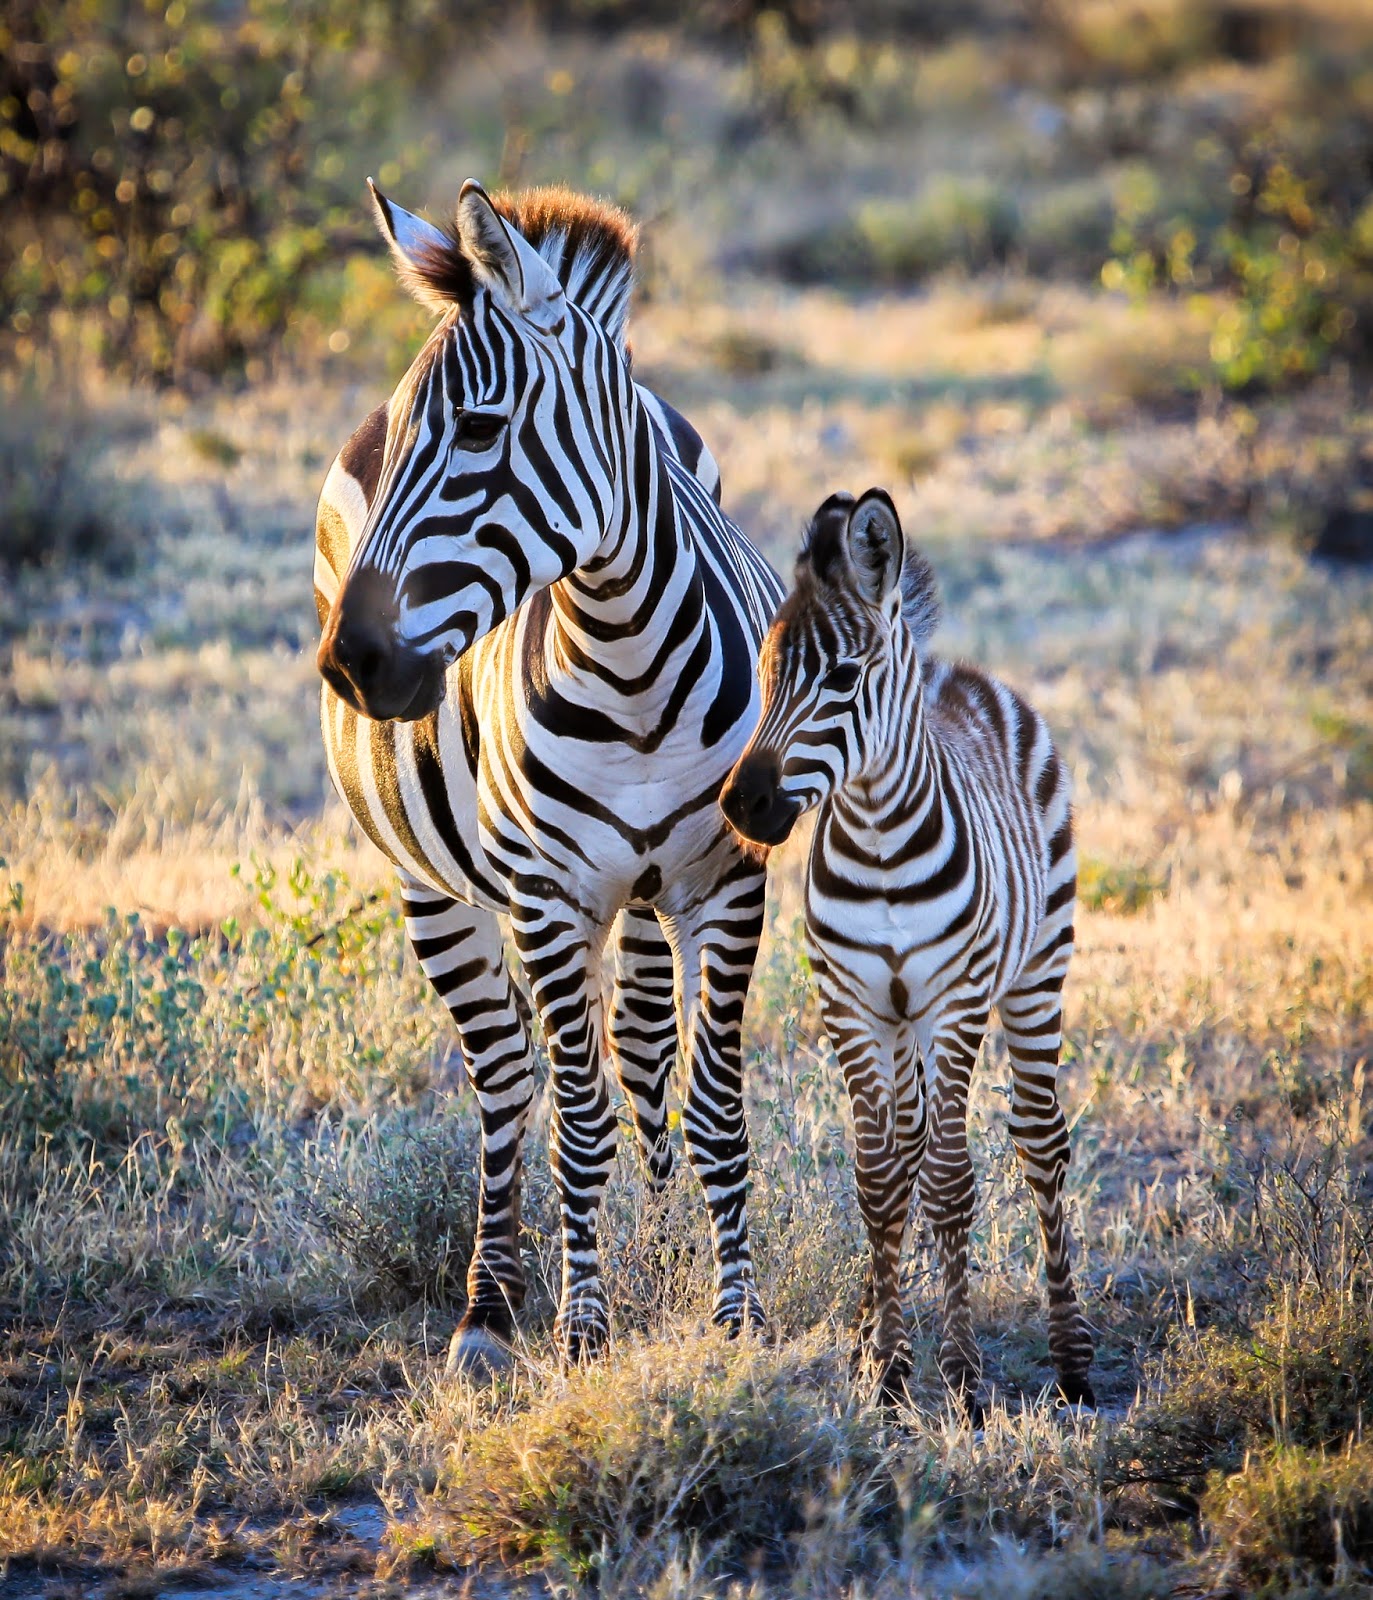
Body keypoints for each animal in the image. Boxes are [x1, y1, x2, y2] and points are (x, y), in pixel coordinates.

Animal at [314, 179, 784, 1374]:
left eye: (481, 429)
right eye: (402, 445)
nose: (351, 665)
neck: (631, 666)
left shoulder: (726, 880)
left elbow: (713, 1103)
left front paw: (734, 1315)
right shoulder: (546, 897)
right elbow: (573, 1116)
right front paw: (582, 1328)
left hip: (649, 896)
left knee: (647, 1052)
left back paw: (662, 1235)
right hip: (433, 886)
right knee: (504, 1078)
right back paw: (490, 1306)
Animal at [718, 487, 1095, 1415]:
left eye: (841, 679)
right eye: (764, 673)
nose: (742, 805)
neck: (881, 845)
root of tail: (961, 675)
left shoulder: (952, 1003)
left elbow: (952, 1182)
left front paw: (959, 1381)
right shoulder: (851, 1005)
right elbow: (878, 1179)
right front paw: (884, 1369)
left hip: (1035, 975)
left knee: (1040, 1142)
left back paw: (1071, 1361)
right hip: (899, 1023)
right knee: (906, 1146)